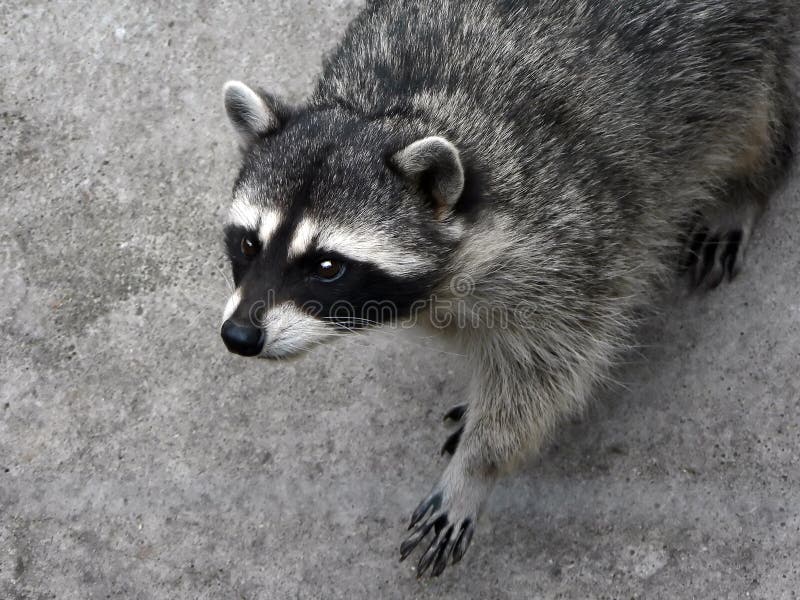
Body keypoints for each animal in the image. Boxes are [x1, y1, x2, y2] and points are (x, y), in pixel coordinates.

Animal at [218, 0, 797, 577]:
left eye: (327, 266)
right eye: (248, 243)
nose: (239, 336)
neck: (403, 110)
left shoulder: (569, 247)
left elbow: (549, 370)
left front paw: (478, 466)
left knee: (765, 112)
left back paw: (749, 185)